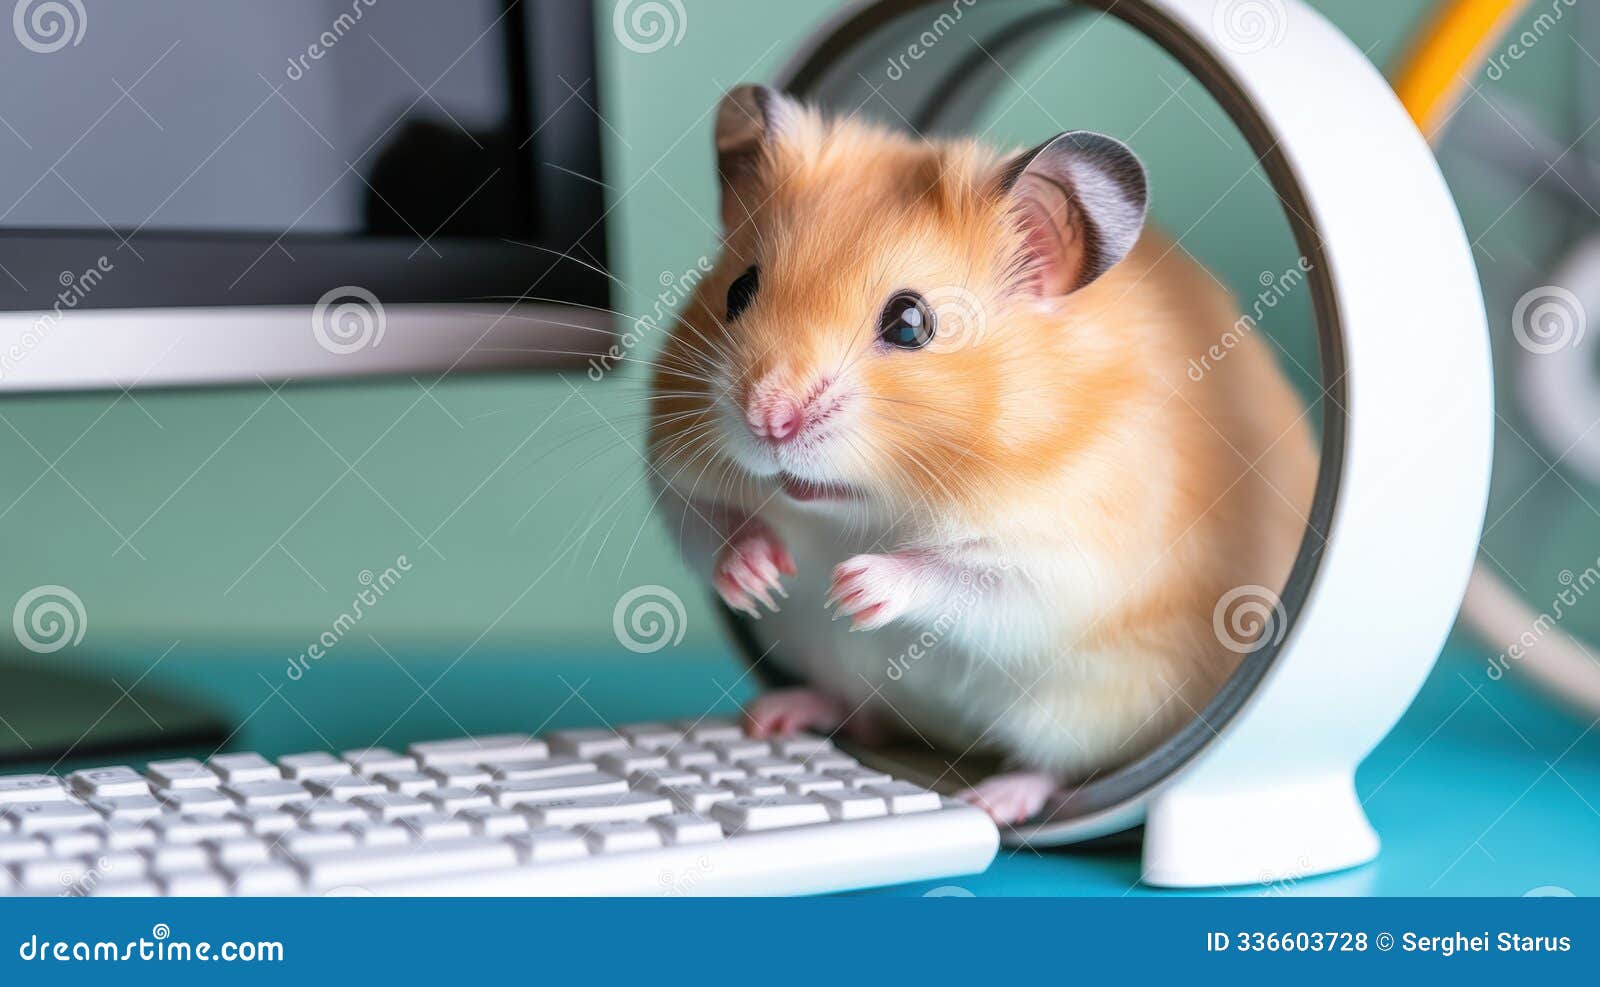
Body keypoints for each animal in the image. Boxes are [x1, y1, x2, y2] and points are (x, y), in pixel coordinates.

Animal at [647, 85, 1315, 824]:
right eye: (738, 291)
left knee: (1049, 766)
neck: (863, 507)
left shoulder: (1064, 557)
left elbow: (966, 577)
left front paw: (853, 587)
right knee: (858, 710)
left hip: (1085, 712)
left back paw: (994, 798)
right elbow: (703, 524)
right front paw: (763, 576)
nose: (769, 417)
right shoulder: (675, 473)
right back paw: (774, 714)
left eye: (910, 323)